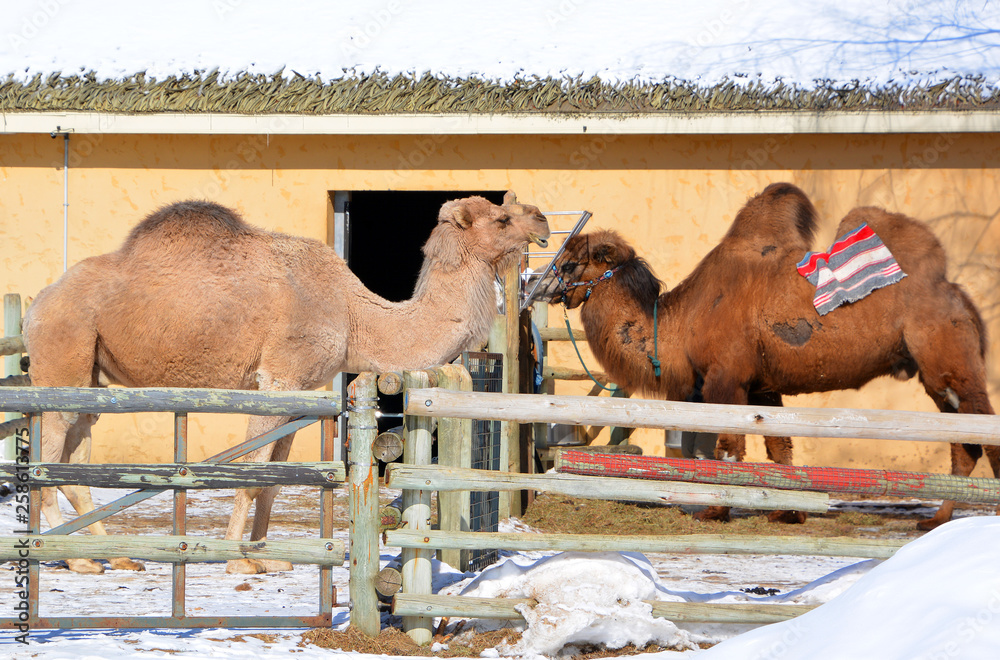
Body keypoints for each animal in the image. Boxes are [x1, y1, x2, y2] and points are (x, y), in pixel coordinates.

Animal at [23, 191, 550, 574]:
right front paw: (237, 562)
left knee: (76, 454)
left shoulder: (303, 389)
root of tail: (38, 302)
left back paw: (111, 556)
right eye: (502, 219)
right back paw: (73, 560)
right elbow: (253, 474)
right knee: (48, 455)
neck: (353, 313)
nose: (543, 221)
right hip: (62, 353)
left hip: (91, 374)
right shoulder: (277, 378)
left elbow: (274, 480)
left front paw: (266, 557)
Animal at [541, 182, 998, 529]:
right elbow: (779, 447)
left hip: (949, 358)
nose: (540, 283)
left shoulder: (726, 377)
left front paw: (715, 512)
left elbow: (729, 448)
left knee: (983, 434)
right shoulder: (762, 386)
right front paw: (788, 513)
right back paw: (934, 519)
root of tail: (956, 293)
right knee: (965, 444)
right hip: (935, 371)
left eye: (571, 262)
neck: (678, 323)